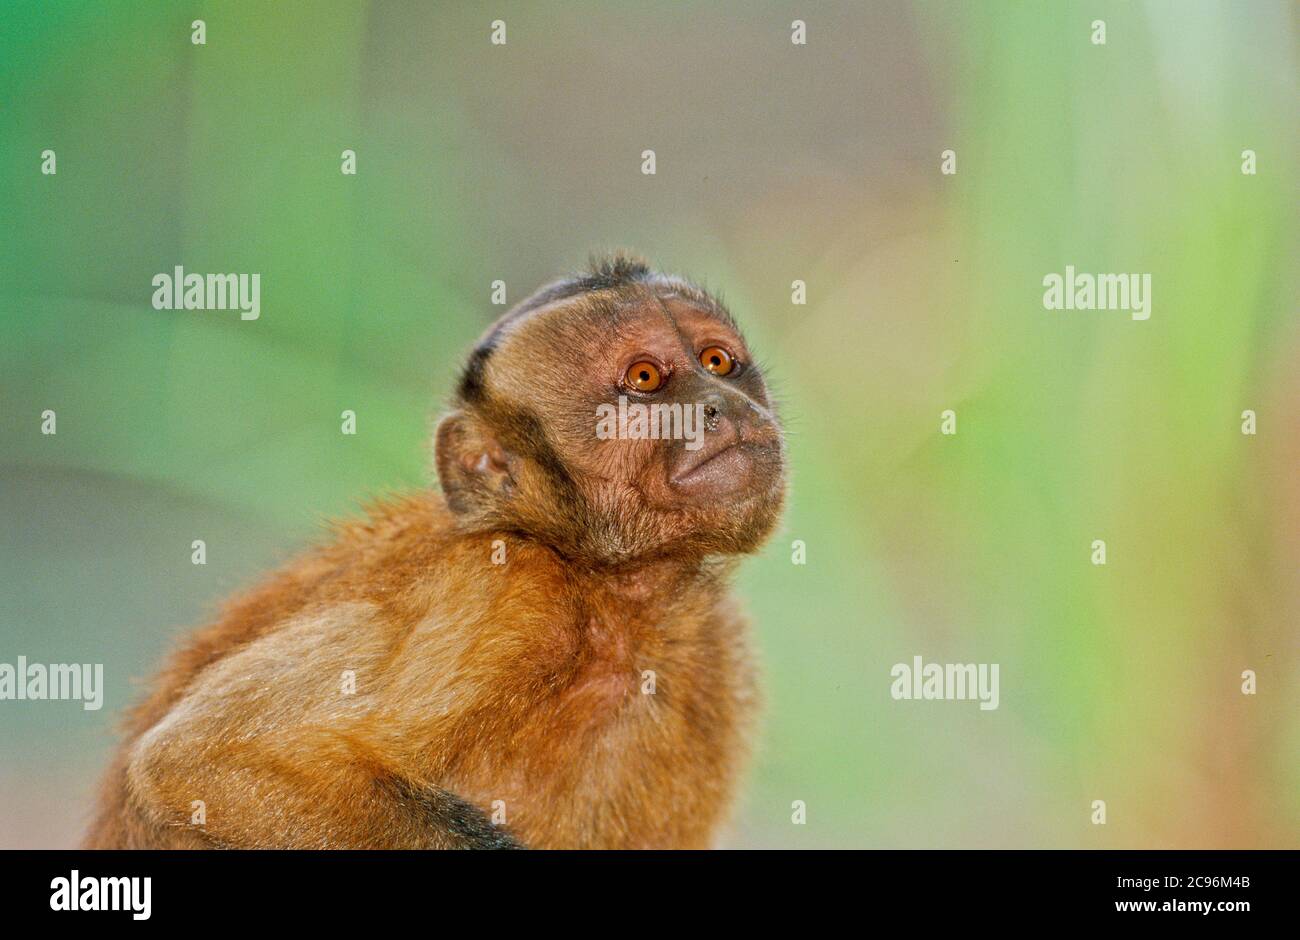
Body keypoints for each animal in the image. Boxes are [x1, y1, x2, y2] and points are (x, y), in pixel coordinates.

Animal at [84, 254, 787, 849]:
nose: (720, 404)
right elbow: (198, 764)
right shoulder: (502, 588)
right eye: (645, 379)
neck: (609, 595)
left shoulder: (718, 652)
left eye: (718, 362)